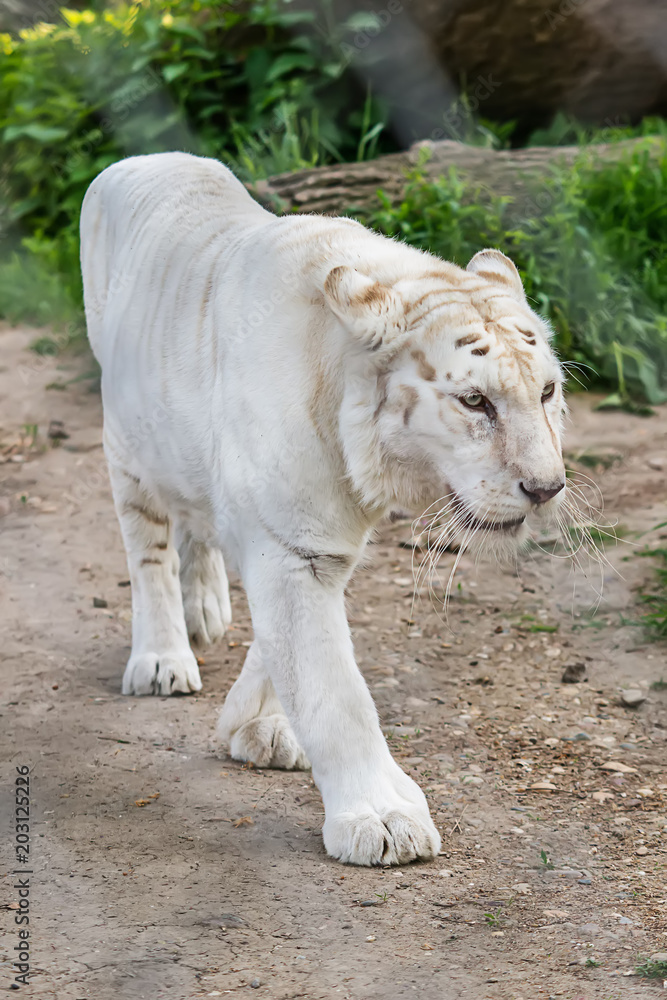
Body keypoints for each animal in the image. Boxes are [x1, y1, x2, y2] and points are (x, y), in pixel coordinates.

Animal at [80, 152, 566, 866]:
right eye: (475, 401)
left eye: (548, 391)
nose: (547, 487)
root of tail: (146, 156)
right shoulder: (294, 548)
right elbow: (335, 691)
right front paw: (384, 819)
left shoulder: (314, 543)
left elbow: (283, 652)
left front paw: (255, 724)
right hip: (126, 444)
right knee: (149, 554)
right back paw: (165, 658)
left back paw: (205, 613)